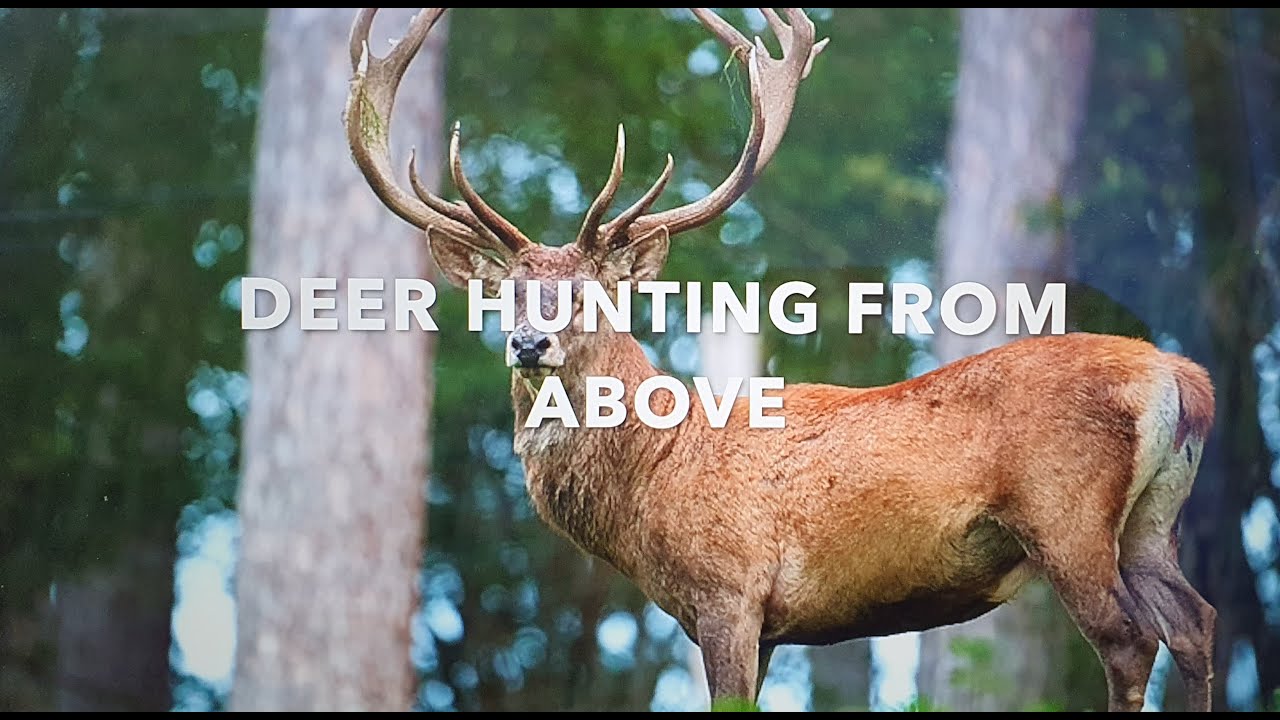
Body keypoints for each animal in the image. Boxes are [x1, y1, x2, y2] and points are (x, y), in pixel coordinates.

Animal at [343, 8, 1218, 712]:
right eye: (508, 297)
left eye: (592, 292)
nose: (530, 343)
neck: (653, 478)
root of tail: (1184, 380)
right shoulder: (760, 623)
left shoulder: (730, 593)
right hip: (1150, 524)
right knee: (1196, 624)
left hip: (1065, 514)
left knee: (1130, 641)